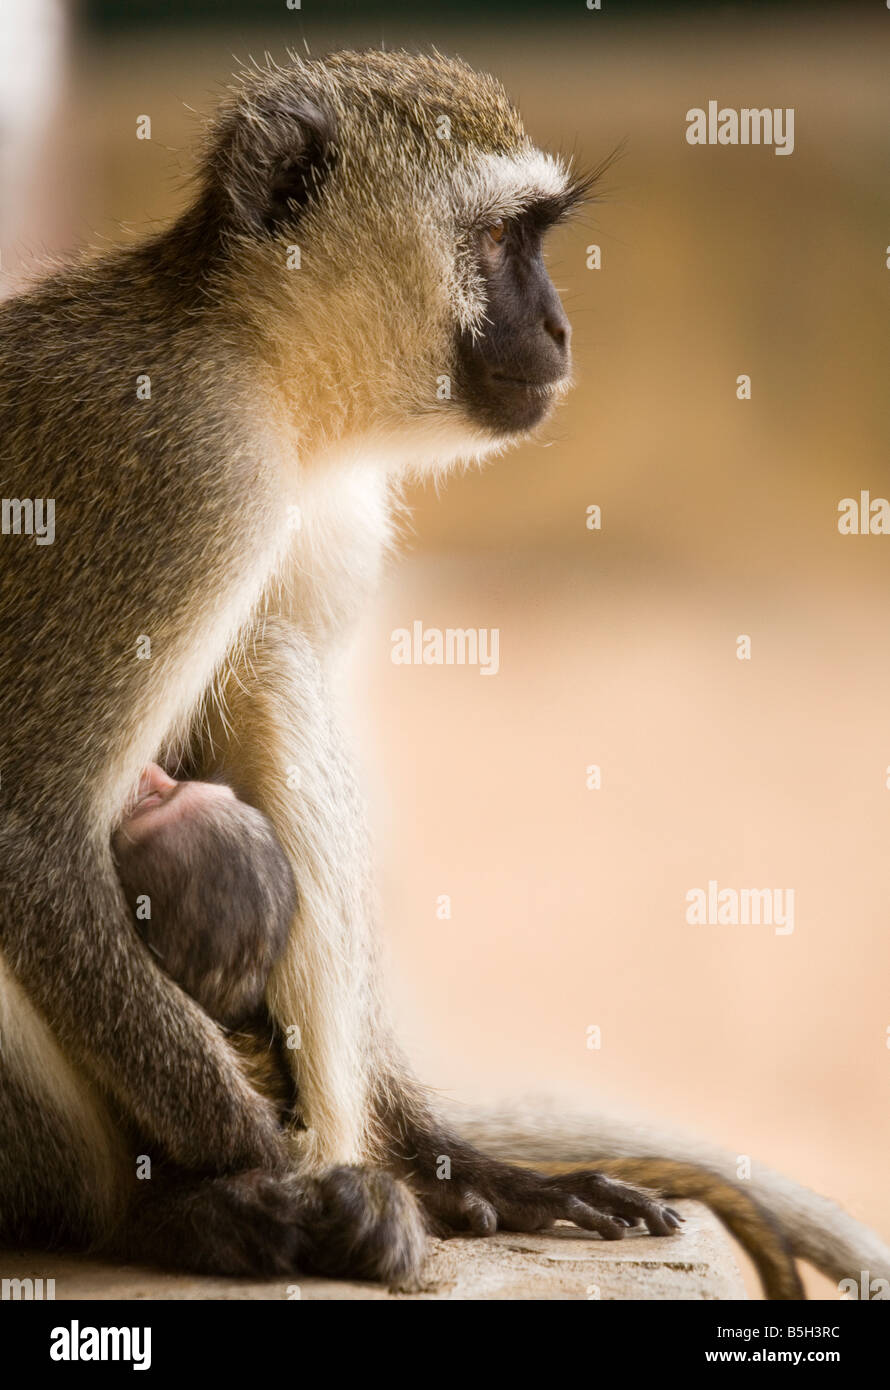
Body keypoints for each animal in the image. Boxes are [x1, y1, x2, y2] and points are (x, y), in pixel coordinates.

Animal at [0, 49, 887, 1297]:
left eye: (538, 239)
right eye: (501, 239)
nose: (561, 326)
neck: (262, 368)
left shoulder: (330, 508)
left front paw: (454, 1163)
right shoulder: (177, 463)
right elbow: (31, 830)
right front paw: (263, 1175)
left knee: (273, 666)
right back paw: (176, 1213)